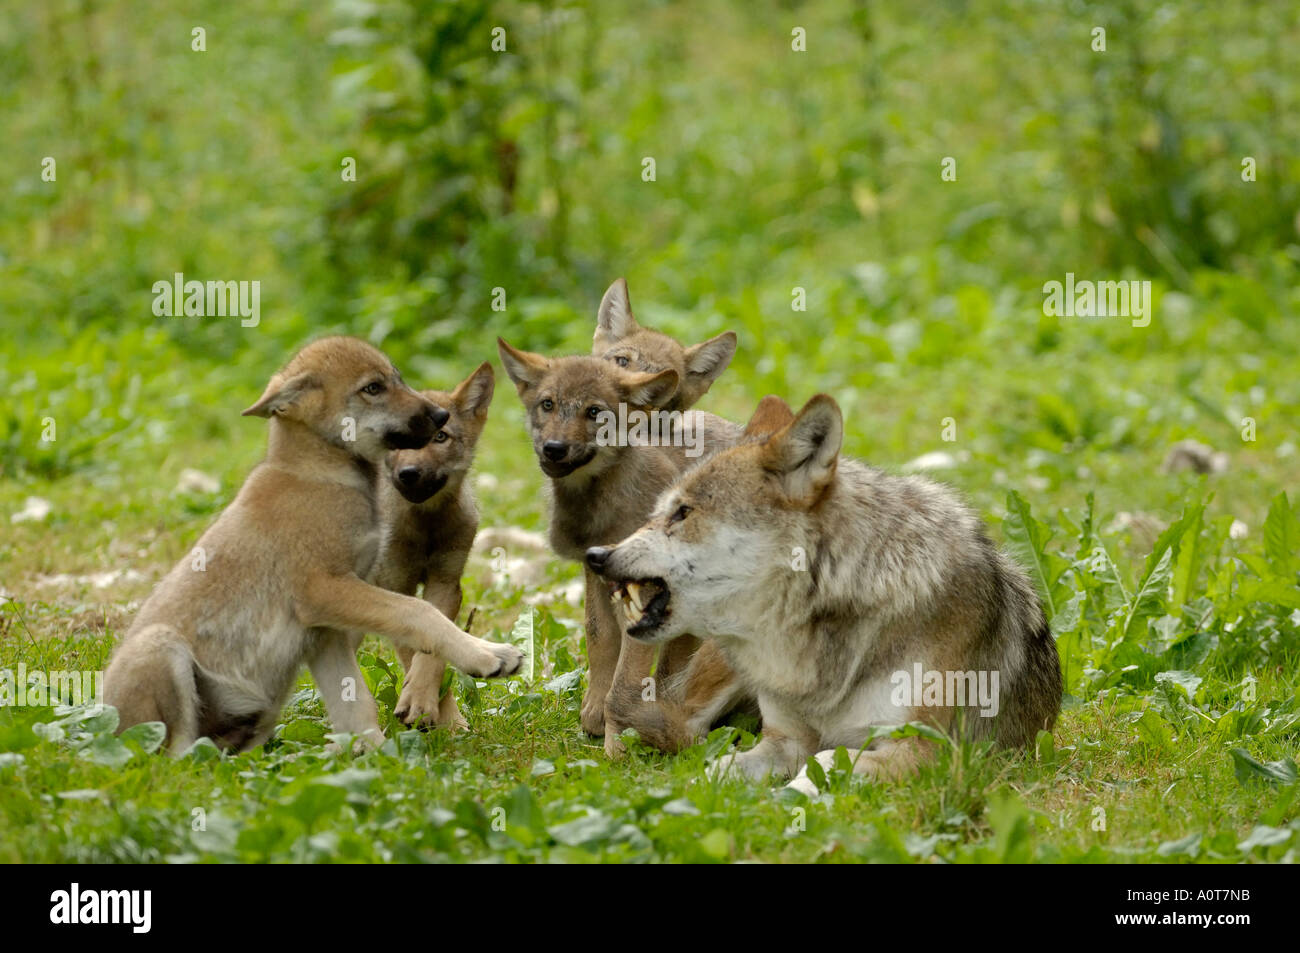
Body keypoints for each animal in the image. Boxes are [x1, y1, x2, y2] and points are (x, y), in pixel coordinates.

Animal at [104, 337, 522, 755]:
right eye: (373, 388)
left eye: (399, 379)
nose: (440, 415)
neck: (322, 475)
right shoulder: (326, 589)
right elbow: (419, 613)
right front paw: (487, 656)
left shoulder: (324, 629)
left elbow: (356, 703)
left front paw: (380, 757)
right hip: (160, 647)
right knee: (174, 755)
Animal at [585, 393, 1062, 792]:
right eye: (657, 512)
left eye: (683, 513)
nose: (596, 554)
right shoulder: (784, 741)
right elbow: (719, 768)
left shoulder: (932, 752)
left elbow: (831, 758)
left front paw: (793, 796)